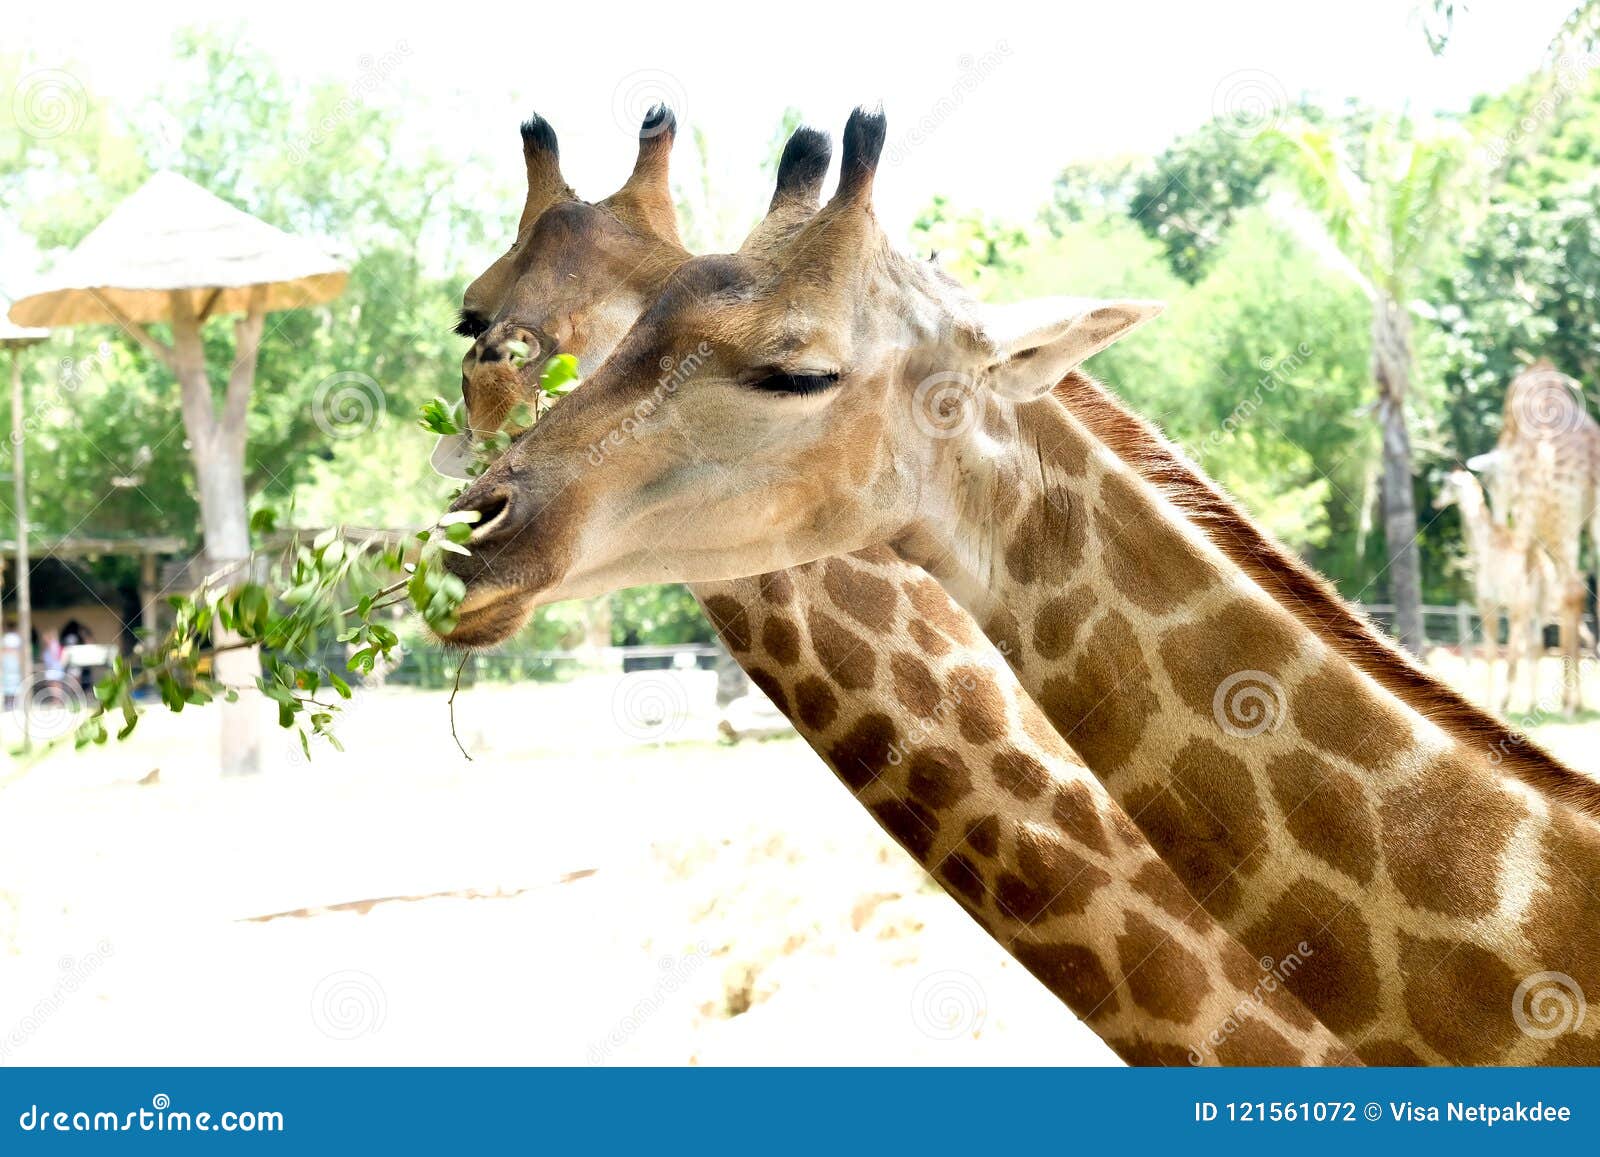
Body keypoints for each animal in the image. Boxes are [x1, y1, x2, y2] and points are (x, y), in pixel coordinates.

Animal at [1432, 467, 1542, 713]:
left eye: (1449, 484)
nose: (1436, 502)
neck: (1483, 547)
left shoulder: (1492, 604)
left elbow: (1494, 653)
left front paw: (1494, 704)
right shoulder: (1489, 605)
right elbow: (1489, 653)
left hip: (1519, 607)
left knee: (1516, 651)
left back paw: (1508, 703)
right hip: (1531, 610)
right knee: (1533, 647)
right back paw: (1531, 705)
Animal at [1490, 362, 1600, 716]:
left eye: (1493, 484)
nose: (1498, 519)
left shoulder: (1526, 522)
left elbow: (1523, 600)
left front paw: (1509, 700)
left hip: (1558, 522)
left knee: (1565, 590)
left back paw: (1564, 702)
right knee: (1577, 591)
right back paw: (1572, 701)